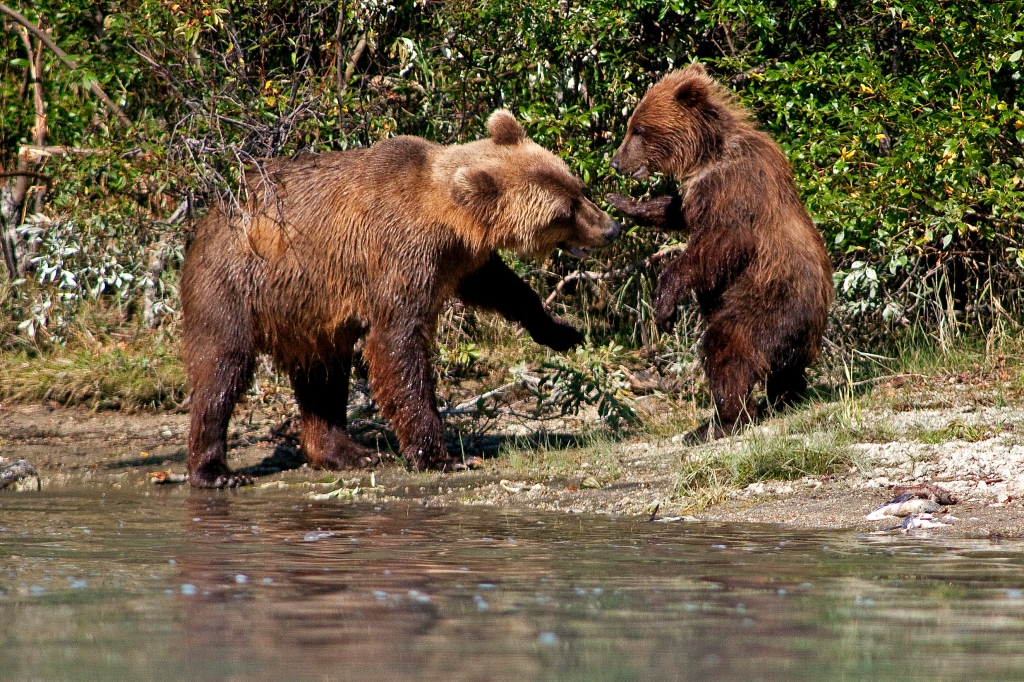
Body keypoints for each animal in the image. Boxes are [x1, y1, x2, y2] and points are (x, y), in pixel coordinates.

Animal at [181, 110, 620, 487]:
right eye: (562, 213)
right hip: (235, 284)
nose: (611, 228)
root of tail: (207, 217)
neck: (448, 218)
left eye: (579, 189)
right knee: (223, 367)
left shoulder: (459, 259)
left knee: (324, 373)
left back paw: (346, 451)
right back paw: (215, 470)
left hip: (308, 309)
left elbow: (501, 286)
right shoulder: (400, 255)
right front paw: (439, 455)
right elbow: (398, 344)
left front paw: (561, 331)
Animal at [607, 63, 833, 439]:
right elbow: (680, 211)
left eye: (637, 129)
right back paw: (784, 398)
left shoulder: (734, 188)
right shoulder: (701, 192)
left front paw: (664, 305)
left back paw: (720, 422)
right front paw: (626, 203)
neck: (707, 154)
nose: (615, 162)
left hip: (768, 302)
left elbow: (718, 245)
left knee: (728, 347)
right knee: (784, 370)